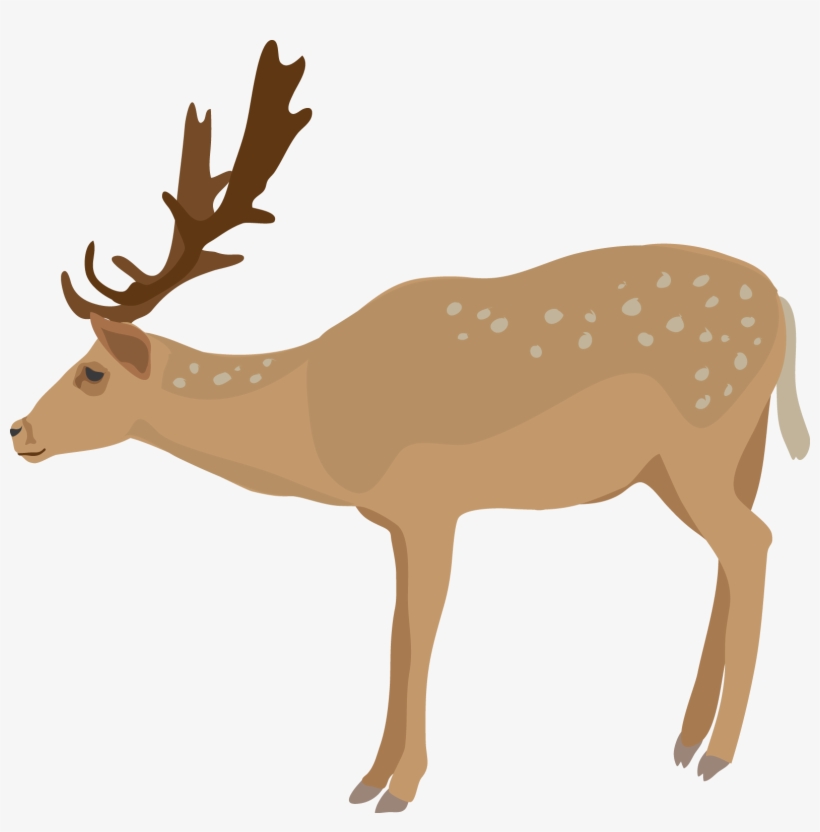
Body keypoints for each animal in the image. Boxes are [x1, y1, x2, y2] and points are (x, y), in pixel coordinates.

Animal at [9, 41, 811, 814]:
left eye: (91, 371)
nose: (18, 429)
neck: (318, 422)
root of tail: (783, 306)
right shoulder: (395, 517)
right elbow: (396, 632)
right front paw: (371, 780)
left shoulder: (430, 504)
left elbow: (414, 634)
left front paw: (395, 787)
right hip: (710, 458)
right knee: (735, 548)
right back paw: (685, 739)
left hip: (702, 437)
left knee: (752, 542)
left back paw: (717, 754)